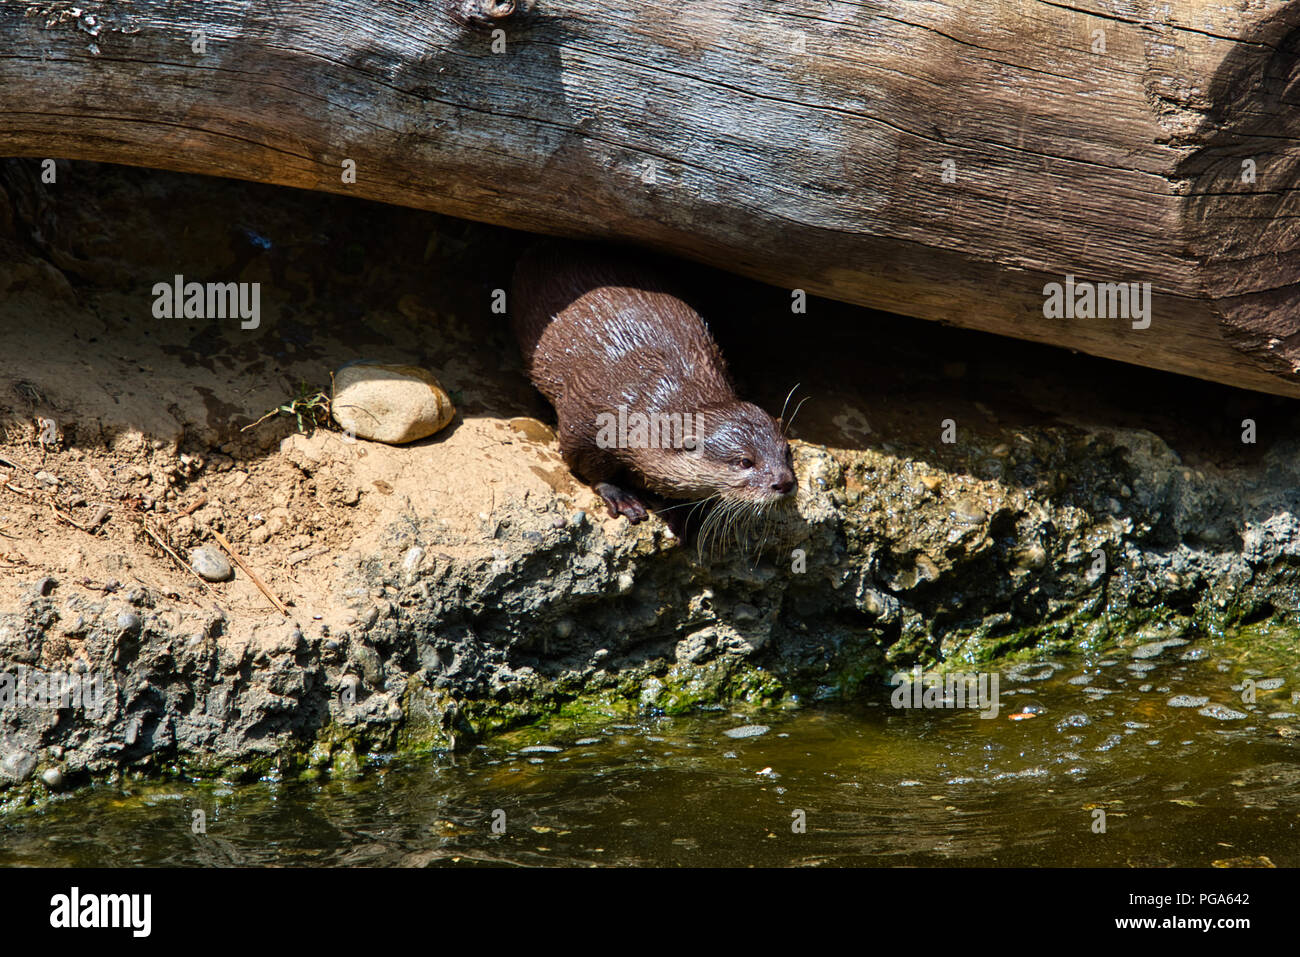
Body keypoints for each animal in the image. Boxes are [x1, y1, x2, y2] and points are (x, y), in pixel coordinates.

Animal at [510, 243, 796, 537]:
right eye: (745, 462)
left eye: (787, 452)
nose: (784, 483)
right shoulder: (584, 418)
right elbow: (585, 464)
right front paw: (620, 495)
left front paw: (680, 513)